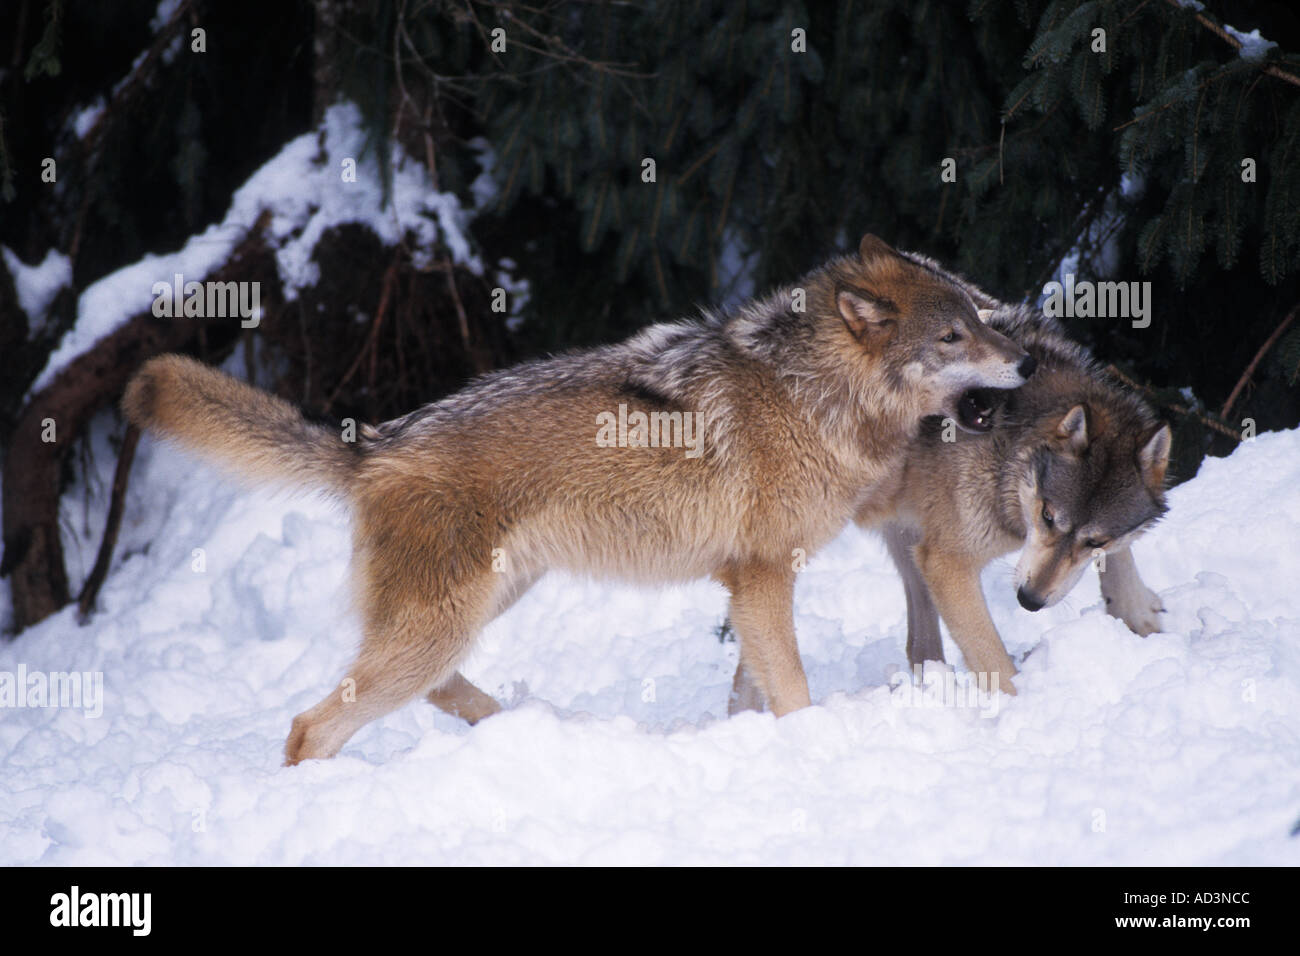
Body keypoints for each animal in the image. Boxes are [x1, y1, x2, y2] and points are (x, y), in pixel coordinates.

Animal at [123, 235, 1033, 764]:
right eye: (953, 336)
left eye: (980, 314)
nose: (1025, 360)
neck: (809, 394)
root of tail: (373, 443)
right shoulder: (763, 576)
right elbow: (795, 686)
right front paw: (810, 747)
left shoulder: (751, 583)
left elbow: (751, 688)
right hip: (442, 621)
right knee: (311, 726)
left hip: (481, 605)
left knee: (427, 690)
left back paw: (511, 727)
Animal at [728, 291, 1171, 710]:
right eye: (1047, 516)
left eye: (1095, 541)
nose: (1029, 602)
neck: (1008, 451)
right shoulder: (947, 563)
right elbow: (994, 661)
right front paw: (1020, 709)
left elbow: (1123, 552)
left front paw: (1136, 609)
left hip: (904, 540)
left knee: (914, 645)